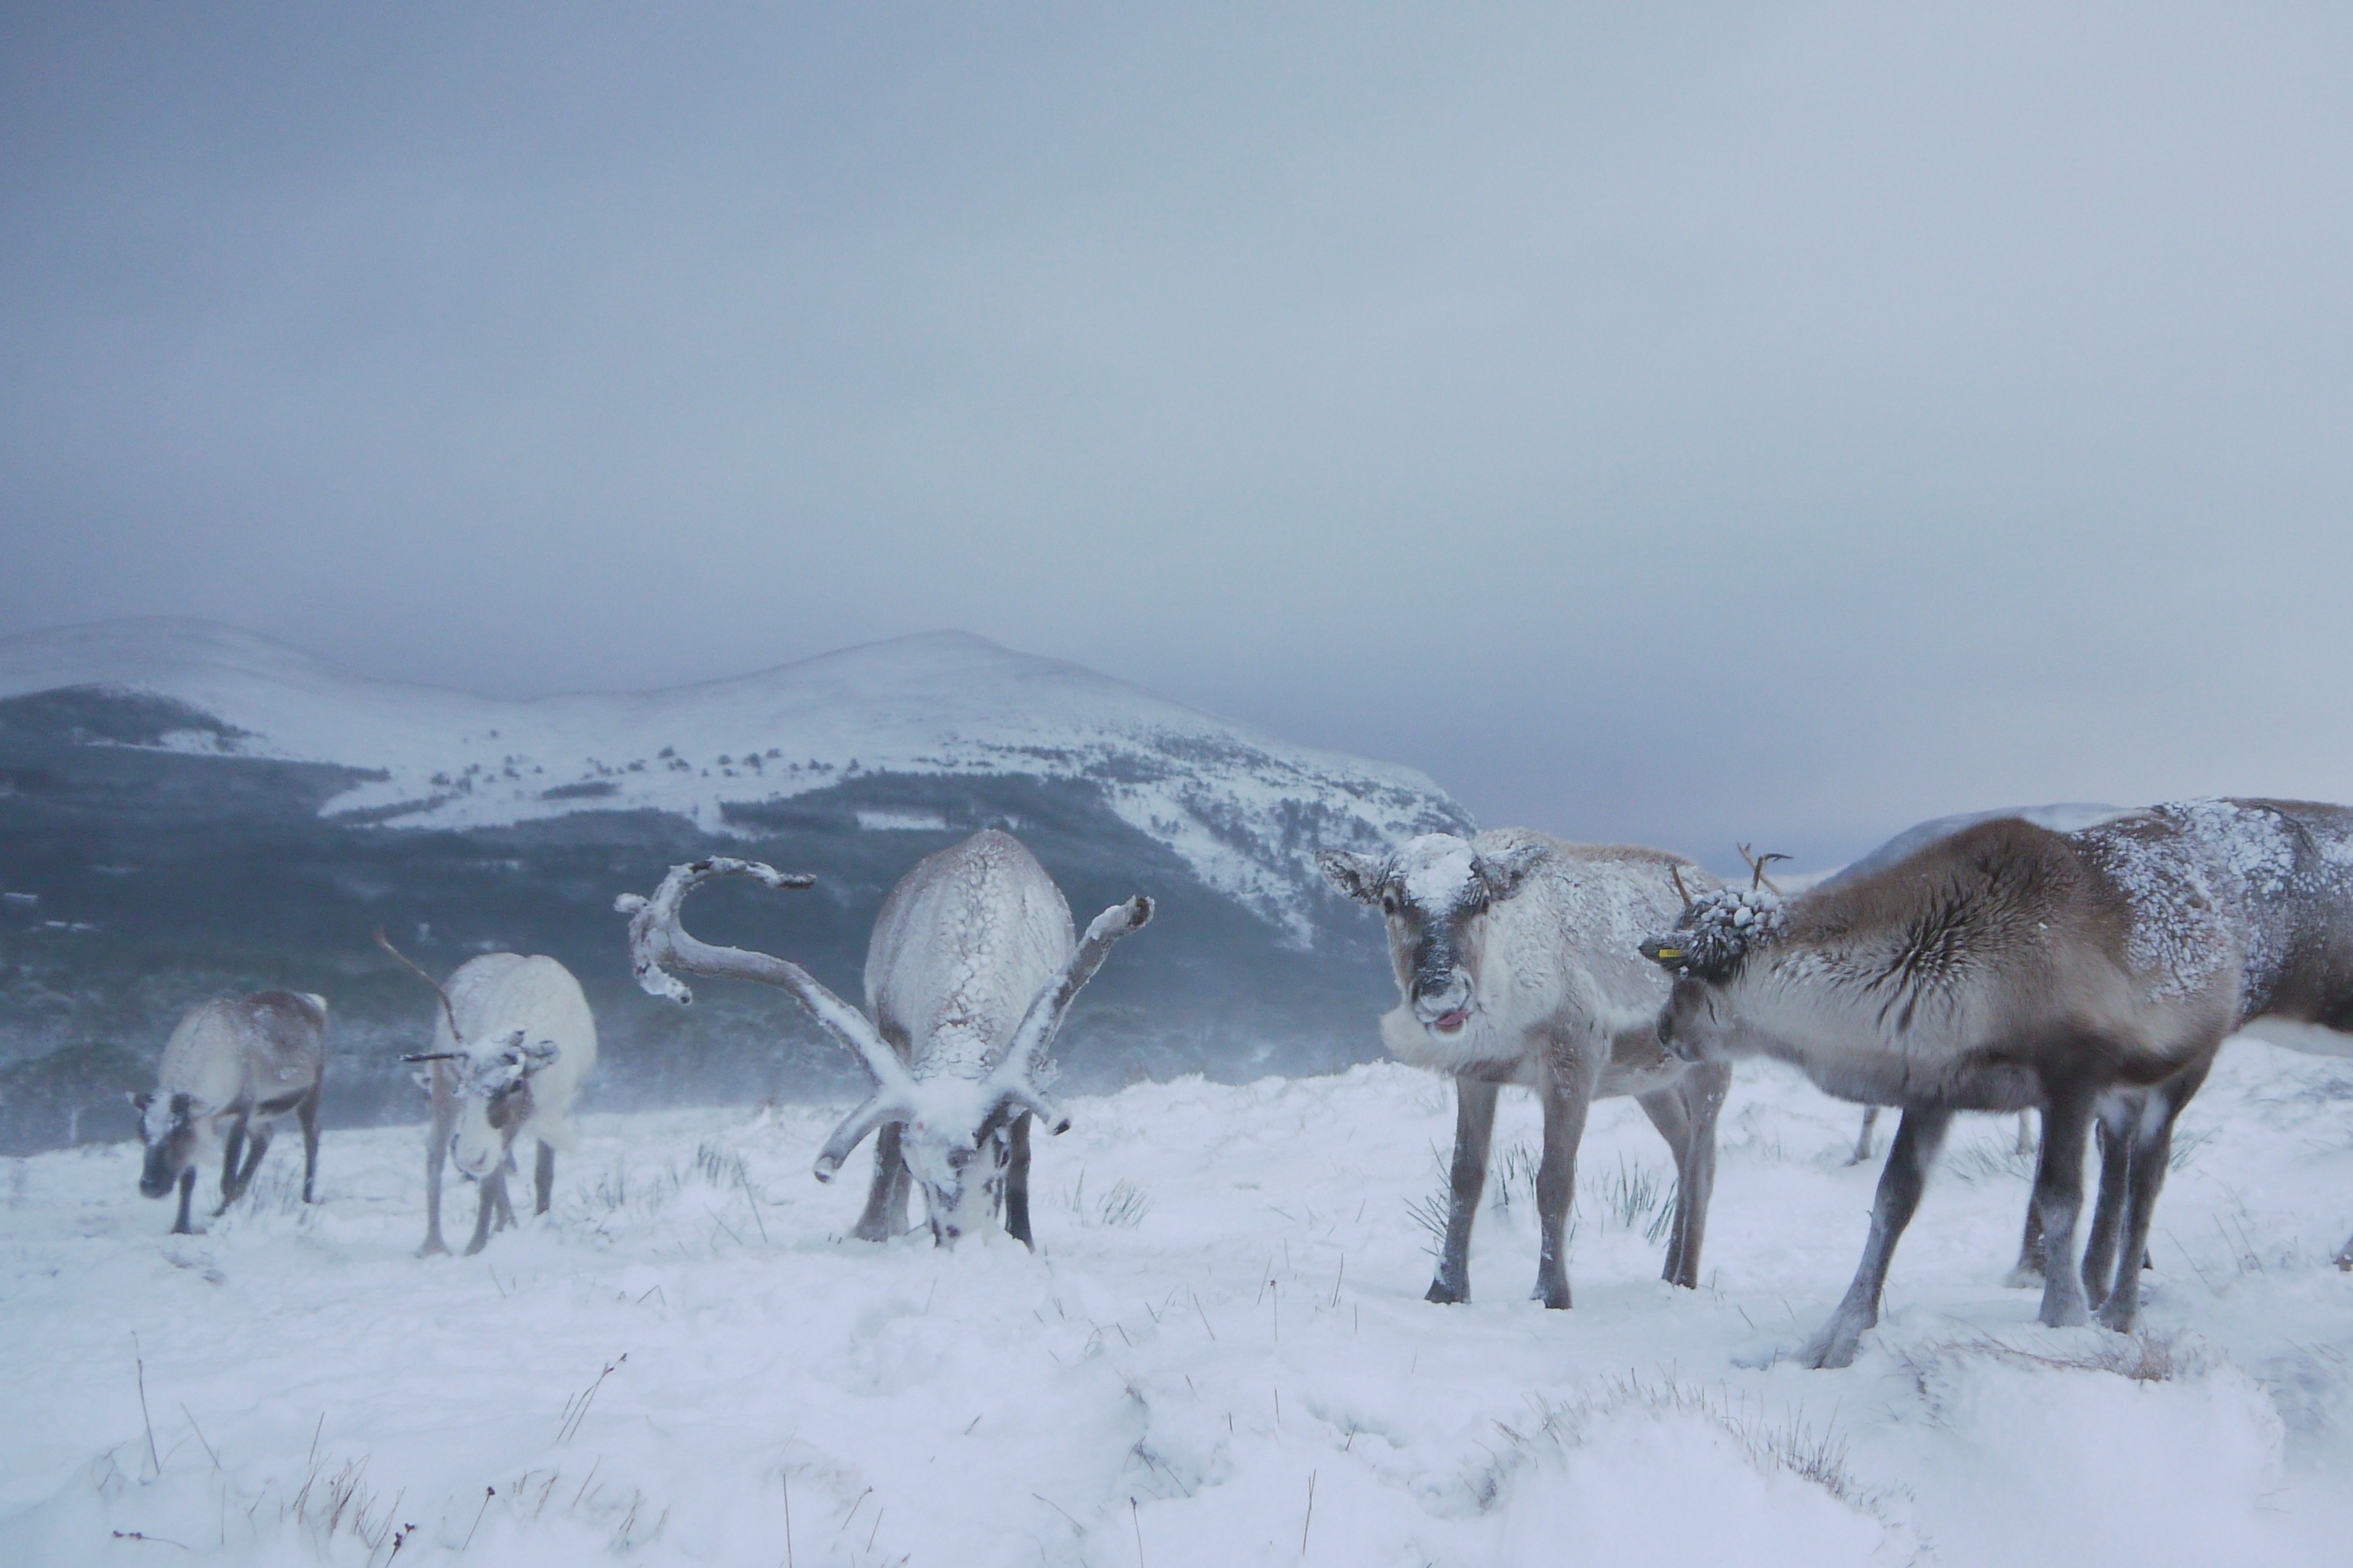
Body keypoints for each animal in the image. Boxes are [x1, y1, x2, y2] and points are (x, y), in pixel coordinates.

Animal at [129, 992, 325, 1234]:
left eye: (179, 1131)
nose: (150, 1186)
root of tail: (315, 1001)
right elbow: (188, 1181)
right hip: (258, 1114)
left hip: (311, 1090)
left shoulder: (239, 1113)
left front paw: (221, 1220)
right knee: (265, 1137)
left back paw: (306, 1197)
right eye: (142, 1133)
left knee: (311, 1136)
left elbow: (226, 1181)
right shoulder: (207, 1123)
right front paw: (181, 1227)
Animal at [376, 933, 598, 1256]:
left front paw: (541, 1222)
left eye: (515, 1085)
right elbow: (489, 1185)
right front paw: (476, 1247)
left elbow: (543, 1175)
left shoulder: (557, 1108)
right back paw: (435, 1244)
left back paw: (507, 1224)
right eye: (464, 1088)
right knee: (436, 1155)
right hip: (441, 1091)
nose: (470, 1158)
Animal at [617, 830, 1152, 1247]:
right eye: (921, 1170)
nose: (960, 1243)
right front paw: (873, 1231)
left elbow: (1023, 1151)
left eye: (994, 1158)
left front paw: (1022, 1239)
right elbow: (887, 1145)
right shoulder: (893, 1033)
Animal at [1318, 829, 1734, 1309]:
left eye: (1481, 901)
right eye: (1389, 903)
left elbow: (1554, 1181)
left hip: (1710, 1065)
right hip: (1651, 1084)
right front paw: (1445, 1289)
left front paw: (1551, 1294)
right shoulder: (1475, 1074)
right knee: (1683, 1151)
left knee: (1703, 1163)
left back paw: (1686, 1277)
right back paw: (1667, 1273)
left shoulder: (1574, 1059)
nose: (1443, 993)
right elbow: (1465, 1177)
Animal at [1639, 797, 2353, 1368]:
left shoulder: (2073, 1075)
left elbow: (2059, 1199)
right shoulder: (1932, 1088)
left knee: (2148, 1183)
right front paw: (1839, 1332)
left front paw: (2062, 1317)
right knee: (2122, 1172)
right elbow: (1892, 1201)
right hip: (2124, 1097)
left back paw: (2119, 1310)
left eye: (1687, 977)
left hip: (2177, 1073)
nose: (1662, 1029)